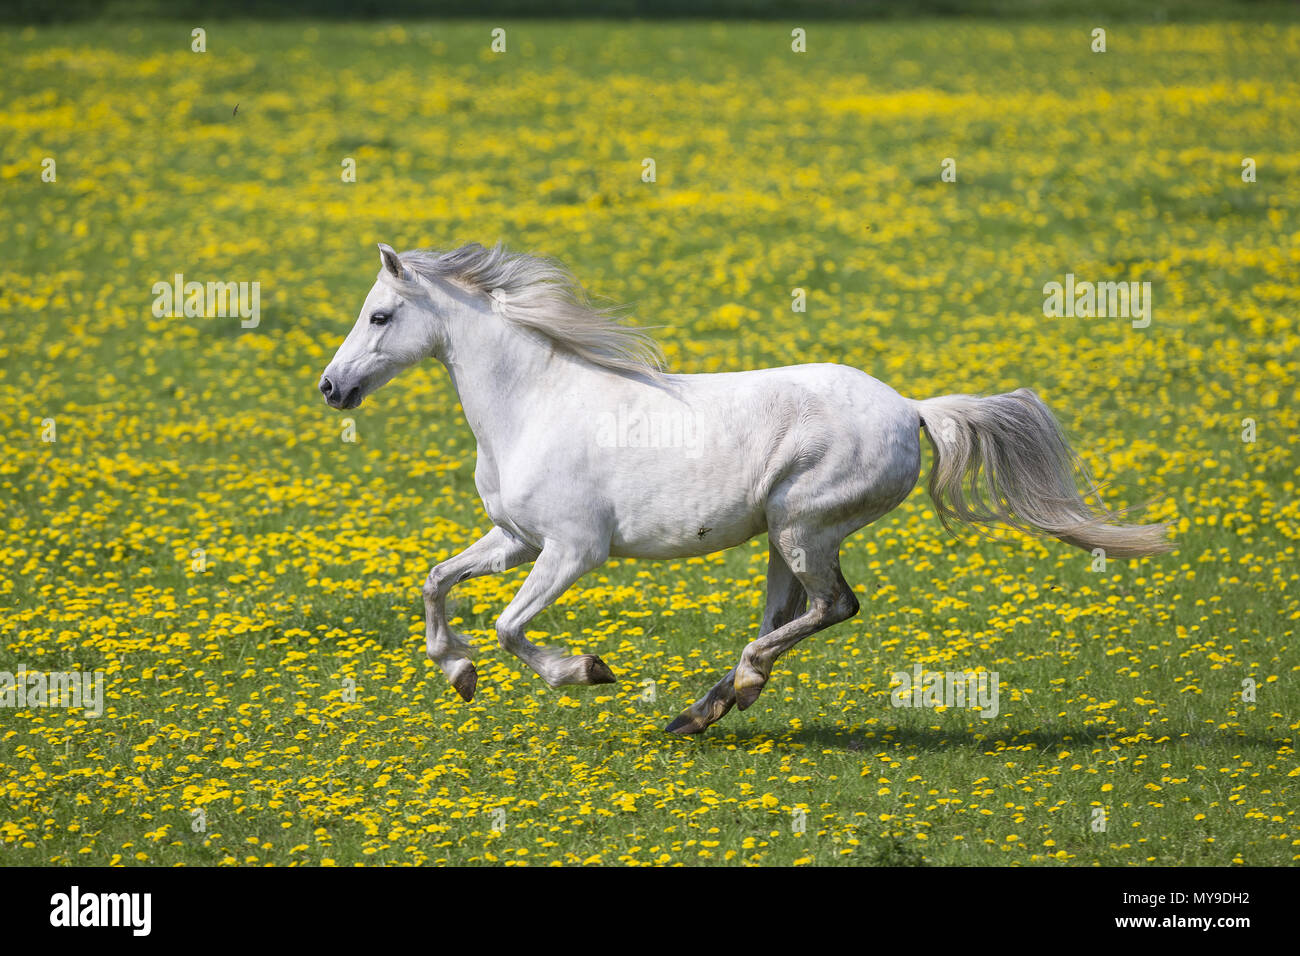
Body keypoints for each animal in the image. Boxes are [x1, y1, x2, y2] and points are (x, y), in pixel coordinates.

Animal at [319, 242, 1172, 734]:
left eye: (380, 315)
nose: (332, 387)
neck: (534, 404)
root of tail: (911, 408)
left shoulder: (573, 551)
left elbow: (507, 626)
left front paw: (585, 670)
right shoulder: (515, 539)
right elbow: (437, 580)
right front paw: (456, 673)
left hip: (803, 525)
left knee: (834, 607)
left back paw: (727, 694)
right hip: (782, 537)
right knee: (792, 613)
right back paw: (709, 706)